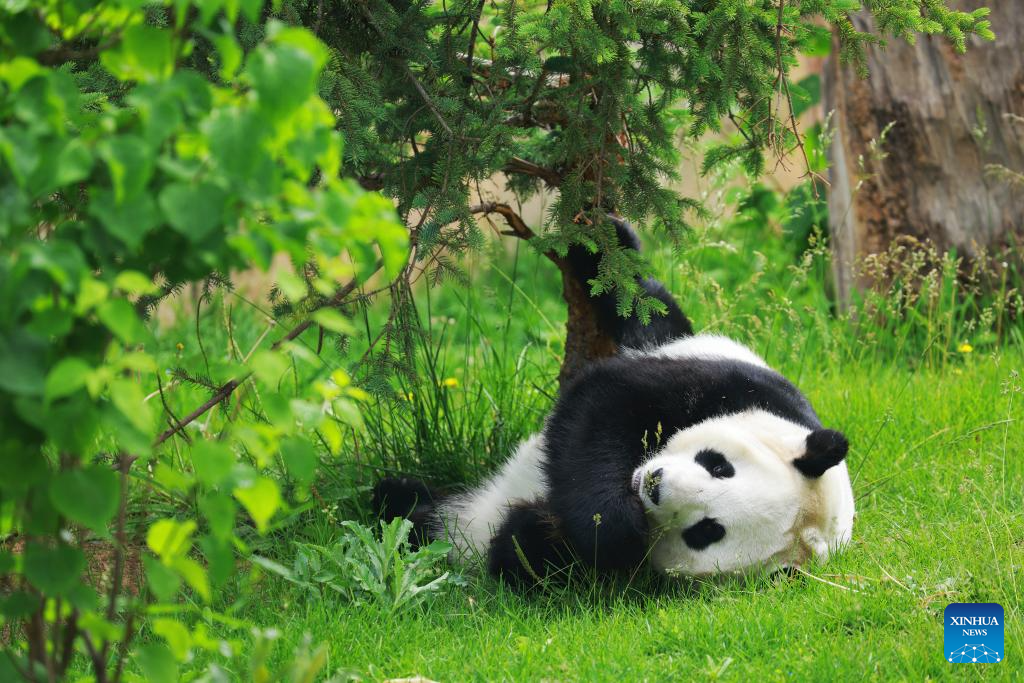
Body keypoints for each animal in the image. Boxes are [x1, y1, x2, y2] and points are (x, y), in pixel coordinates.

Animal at [373, 218, 854, 586]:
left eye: (708, 531)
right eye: (719, 465)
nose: (655, 484)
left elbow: (543, 554)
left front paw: (545, 531)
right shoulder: (732, 387)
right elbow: (605, 410)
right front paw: (613, 520)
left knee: (431, 524)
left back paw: (401, 505)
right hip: (678, 339)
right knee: (643, 302)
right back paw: (603, 241)